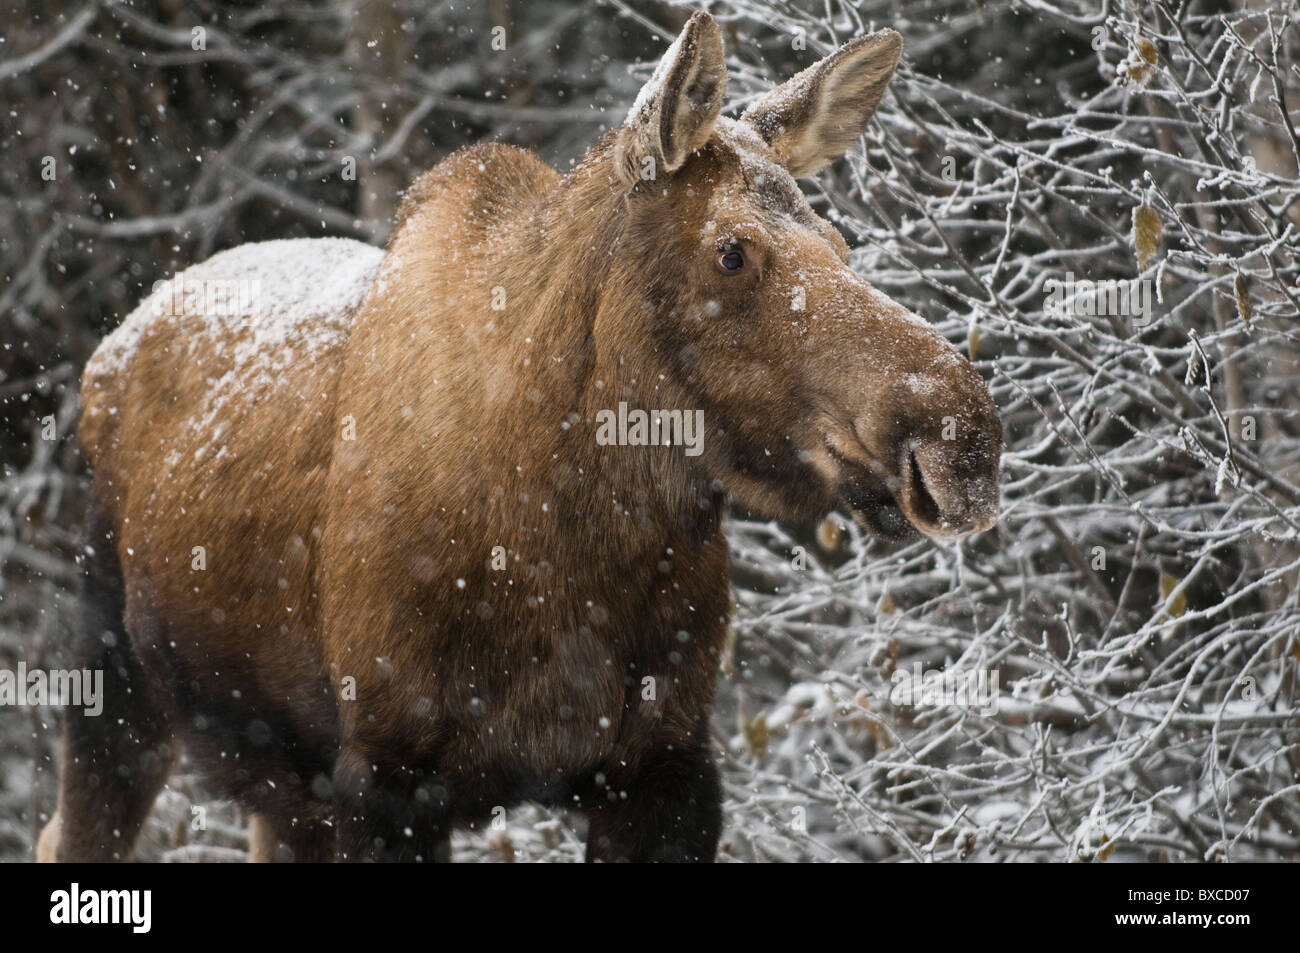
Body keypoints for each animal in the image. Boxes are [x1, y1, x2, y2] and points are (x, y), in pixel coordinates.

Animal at [37, 12, 1001, 863]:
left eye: (840, 240)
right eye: (731, 250)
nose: (965, 439)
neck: (558, 543)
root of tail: (112, 346)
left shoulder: (665, 763)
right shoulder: (386, 775)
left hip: (283, 777)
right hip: (115, 686)